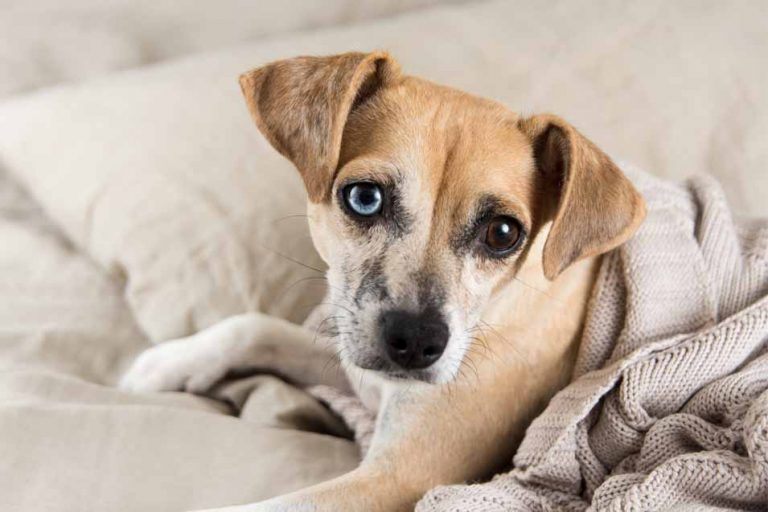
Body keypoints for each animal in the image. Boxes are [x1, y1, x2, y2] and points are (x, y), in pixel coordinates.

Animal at [120, 50, 644, 510]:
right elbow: (255, 327)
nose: (415, 342)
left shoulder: (398, 478)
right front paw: (165, 364)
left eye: (503, 233)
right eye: (365, 198)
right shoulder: (352, 361)